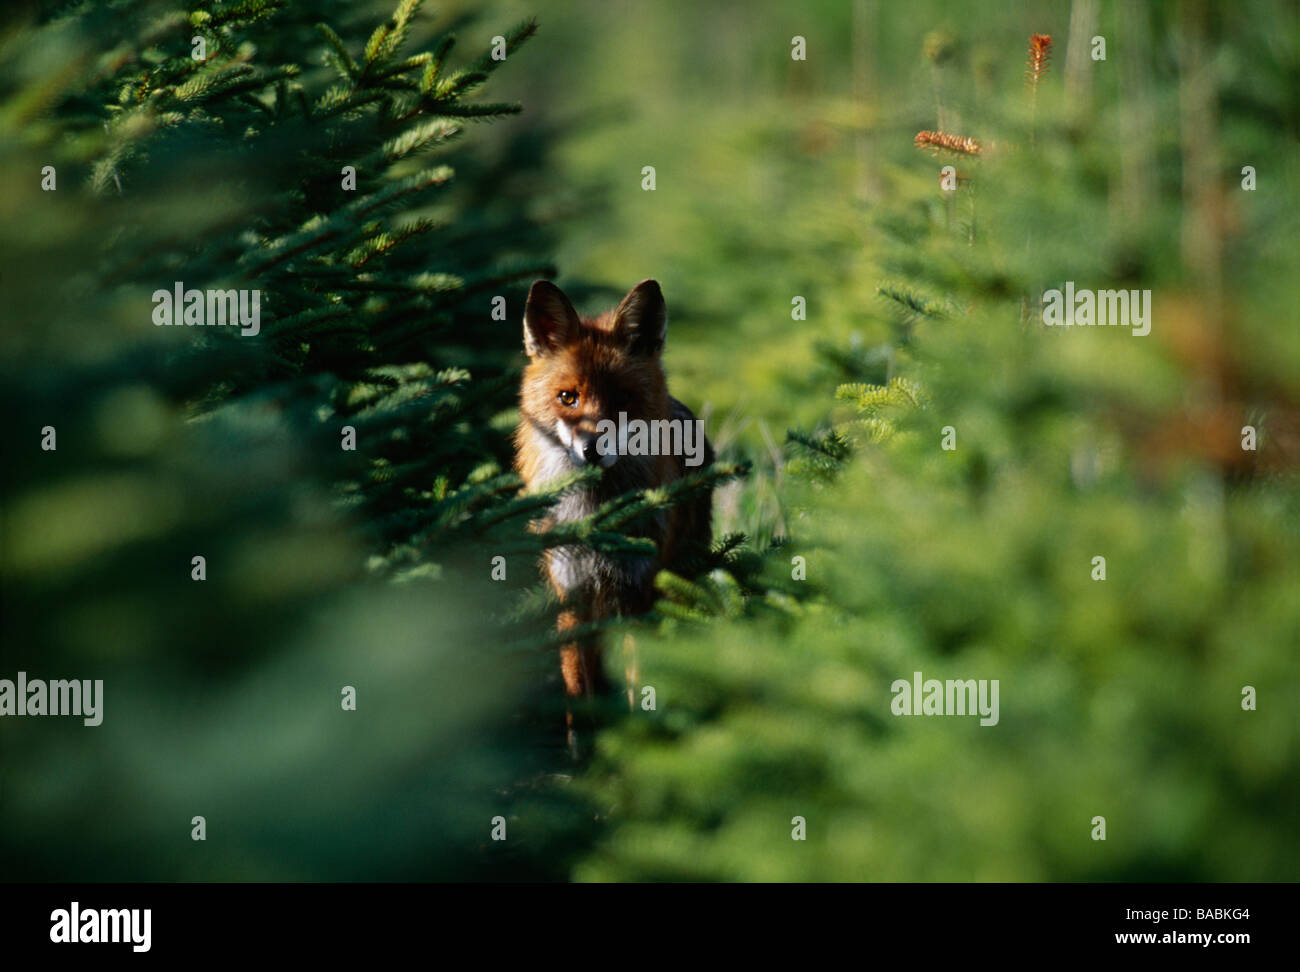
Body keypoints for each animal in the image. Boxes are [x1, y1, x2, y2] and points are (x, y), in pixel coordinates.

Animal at [515, 278, 714, 715]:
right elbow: (579, 697)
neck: (597, 521)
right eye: (567, 397)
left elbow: (640, 691)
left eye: (622, 399)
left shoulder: (637, 595)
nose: (592, 449)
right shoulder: (572, 600)